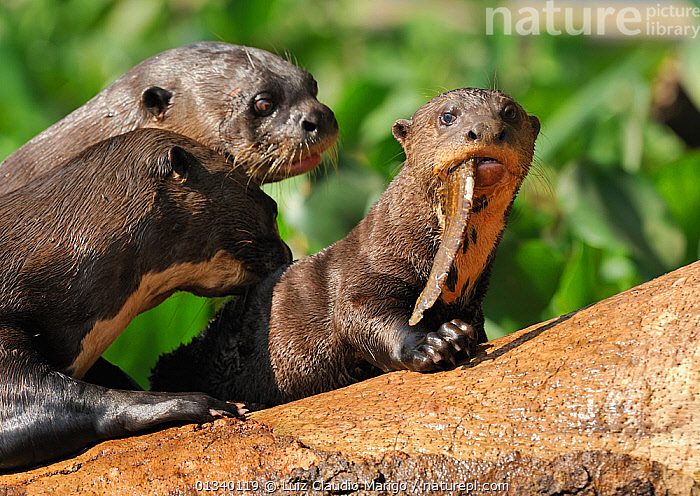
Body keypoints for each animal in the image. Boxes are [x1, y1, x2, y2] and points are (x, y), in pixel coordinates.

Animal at [150, 88, 540, 406]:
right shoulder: (368, 272)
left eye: (509, 112)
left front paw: (458, 335)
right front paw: (434, 344)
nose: (486, 130)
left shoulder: (473, 302)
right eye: (448, 116)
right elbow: (357, 317)